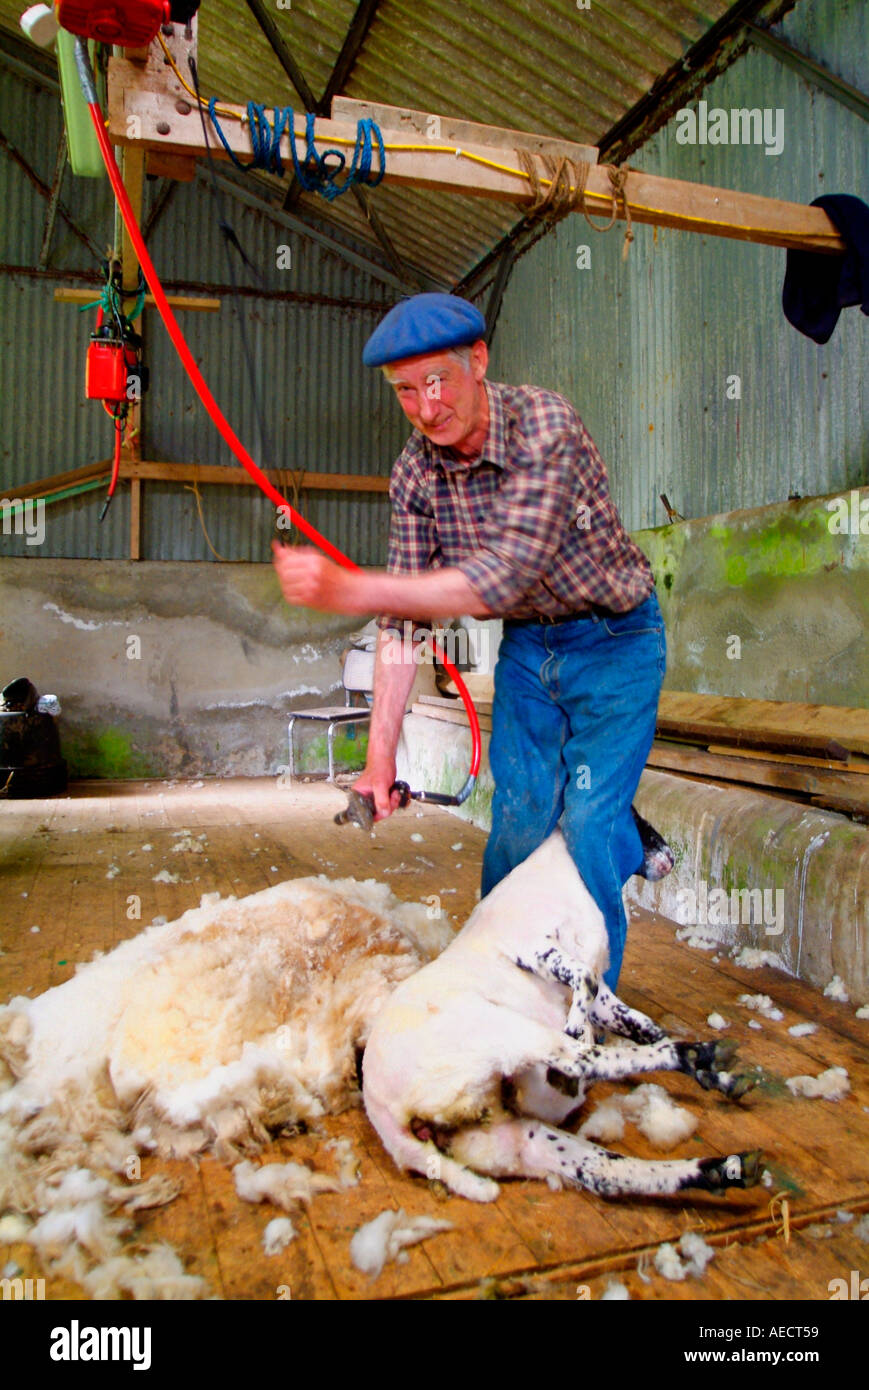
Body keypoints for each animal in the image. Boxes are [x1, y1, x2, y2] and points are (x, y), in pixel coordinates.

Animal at [362, 829, 761, 1202]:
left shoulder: (601, 993)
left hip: (512, 1136)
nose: (672, 859)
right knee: (580, 1061)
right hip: (504, 1034)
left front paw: (718, 1078)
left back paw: (726, 1168)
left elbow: (642, 1023)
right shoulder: (531, 944)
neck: (560, 862)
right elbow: (586, 982)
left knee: (604, 1170)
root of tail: (386, 1114)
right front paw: (577, 1028)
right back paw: (696, 1055)